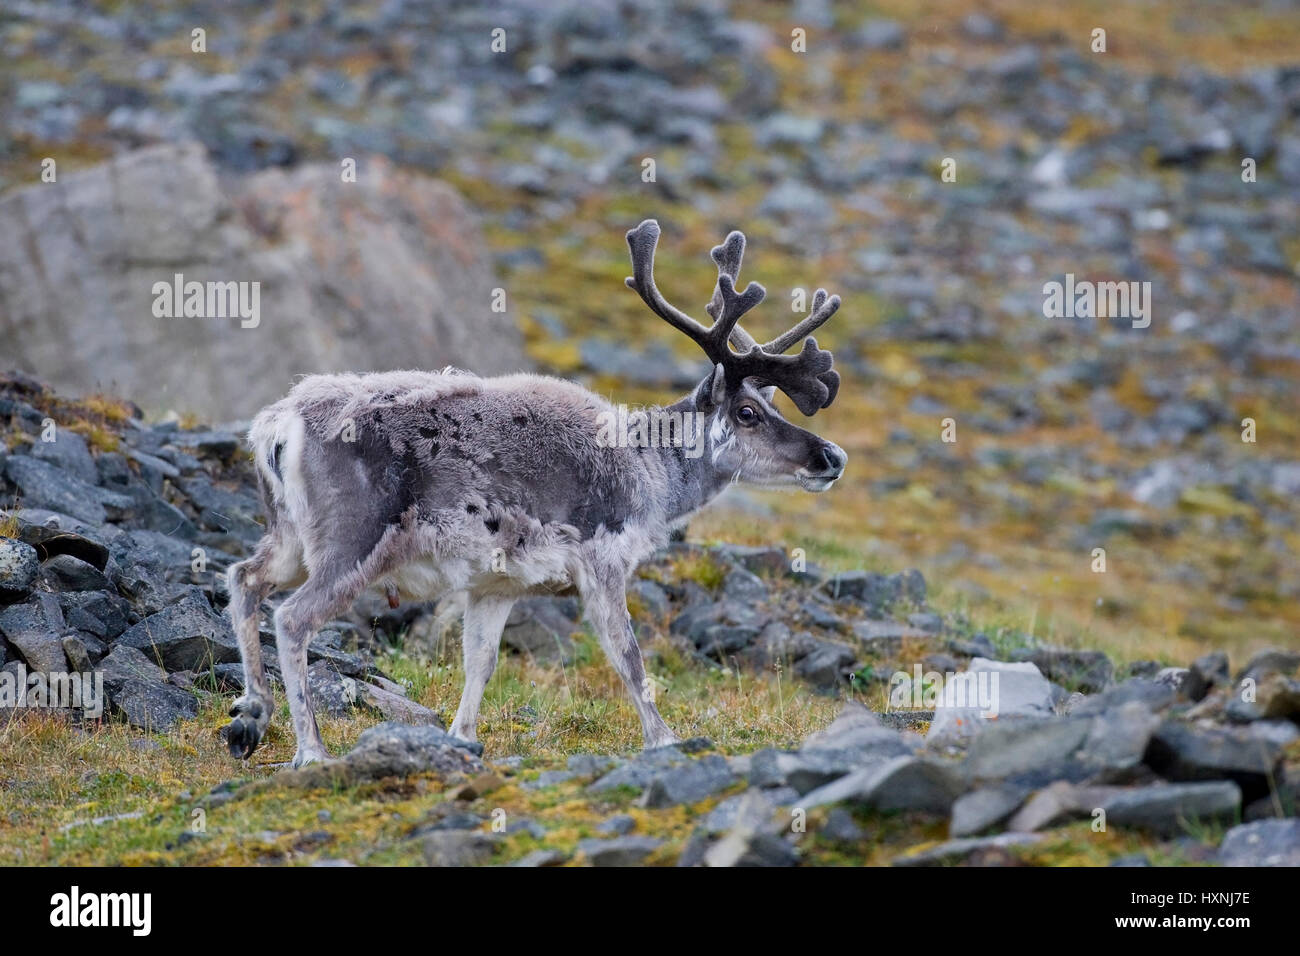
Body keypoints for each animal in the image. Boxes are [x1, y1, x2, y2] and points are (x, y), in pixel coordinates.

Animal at [224, 219, 846, 767]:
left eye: (771, 404)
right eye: (746, 412)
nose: (832, 457)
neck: (648, 470)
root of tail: (278, 424)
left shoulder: (495, 585)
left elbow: (480, 661)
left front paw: (462, 738)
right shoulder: (602, 560)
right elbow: (629, 658)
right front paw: (665, 739)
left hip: (290, 538)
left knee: (244, 578)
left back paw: (250, 716)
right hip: (351, 541)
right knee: (292, 618)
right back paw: (310, 750)